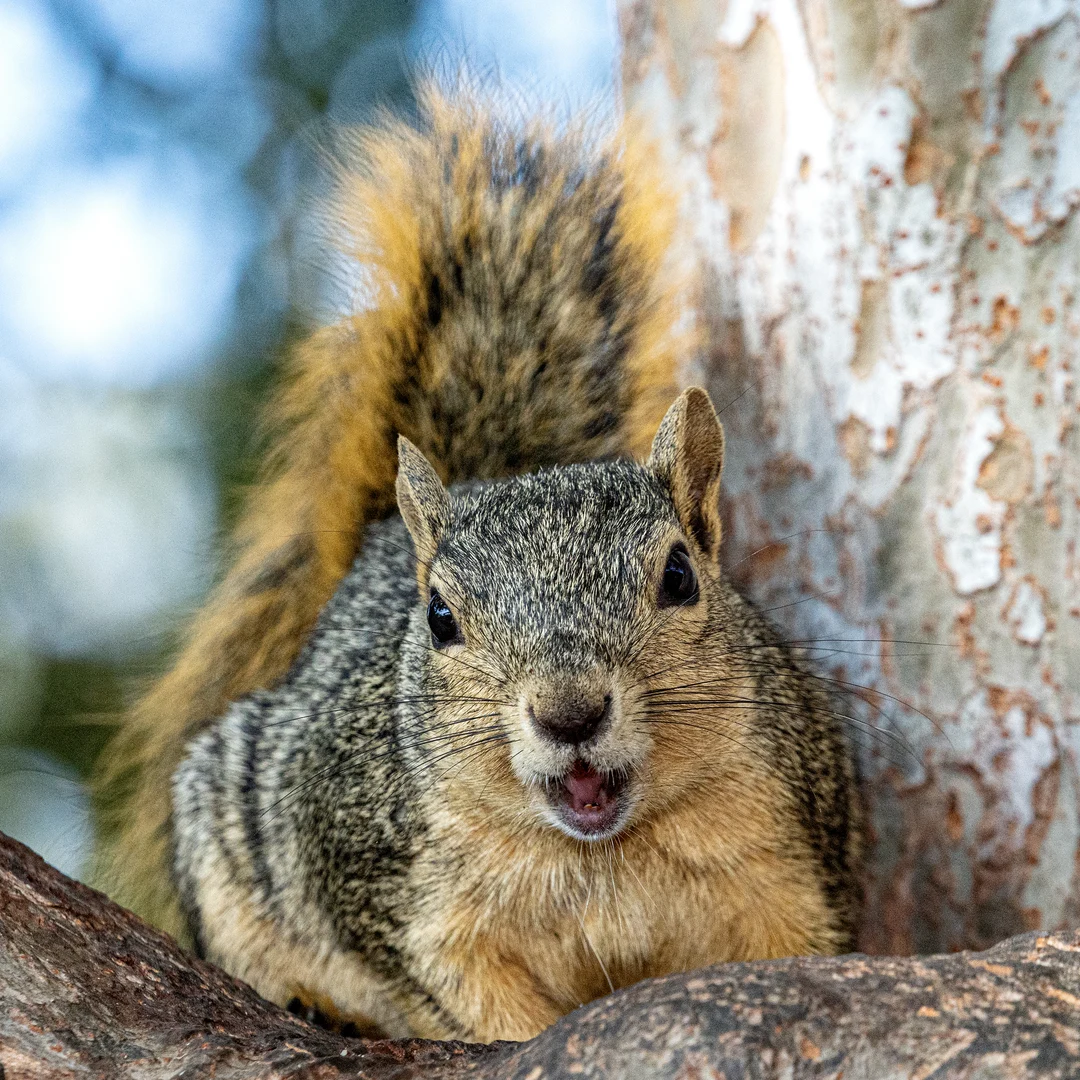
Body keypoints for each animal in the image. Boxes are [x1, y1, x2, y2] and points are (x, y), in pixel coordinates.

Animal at [97, 84, 862, 1043]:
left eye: (681, 577)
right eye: (441, 617)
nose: (570, 713)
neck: (606, 852)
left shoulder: (791, 870)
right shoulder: (398, 905)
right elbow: (472, 1004)